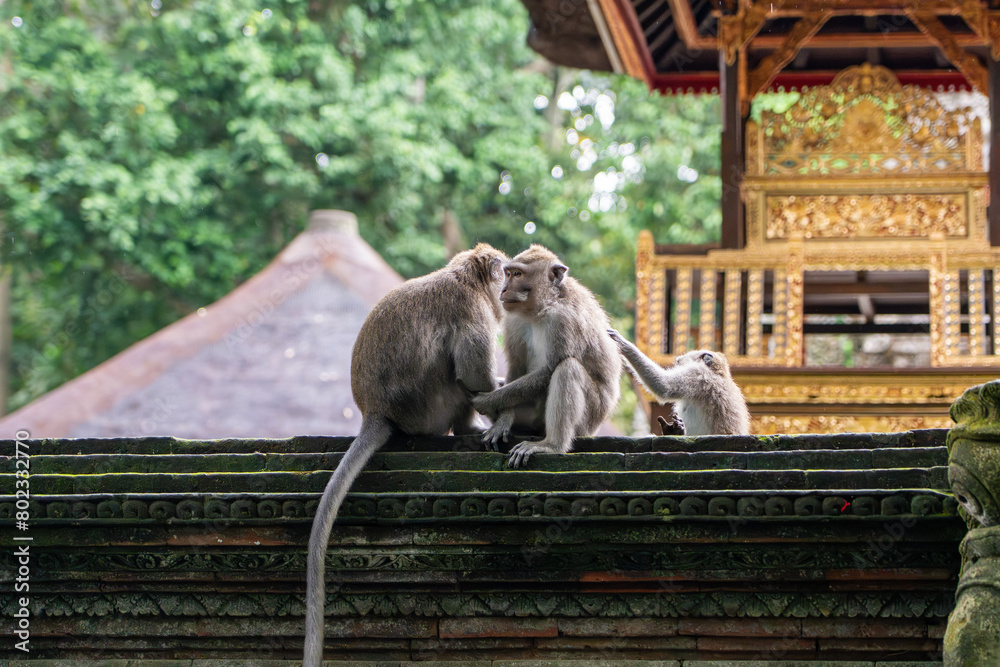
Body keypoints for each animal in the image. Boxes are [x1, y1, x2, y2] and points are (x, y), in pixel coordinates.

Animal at [303, 244, 507, 667]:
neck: (467, 280)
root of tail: (375, 412)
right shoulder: (471, 310)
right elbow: (474, 373)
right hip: (430, 407)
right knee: (455, 376)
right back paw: (468, 430)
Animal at [471, 245, 621, 468]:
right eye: (508, 273)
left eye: (518, 274)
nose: (503, 289)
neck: (543, 307)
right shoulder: (514, 320)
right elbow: (517, 367)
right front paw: (503, 420)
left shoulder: (564, 319)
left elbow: (549, 371)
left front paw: (487, 400)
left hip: (590, 419)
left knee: (568, 369)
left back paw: (552, 445)